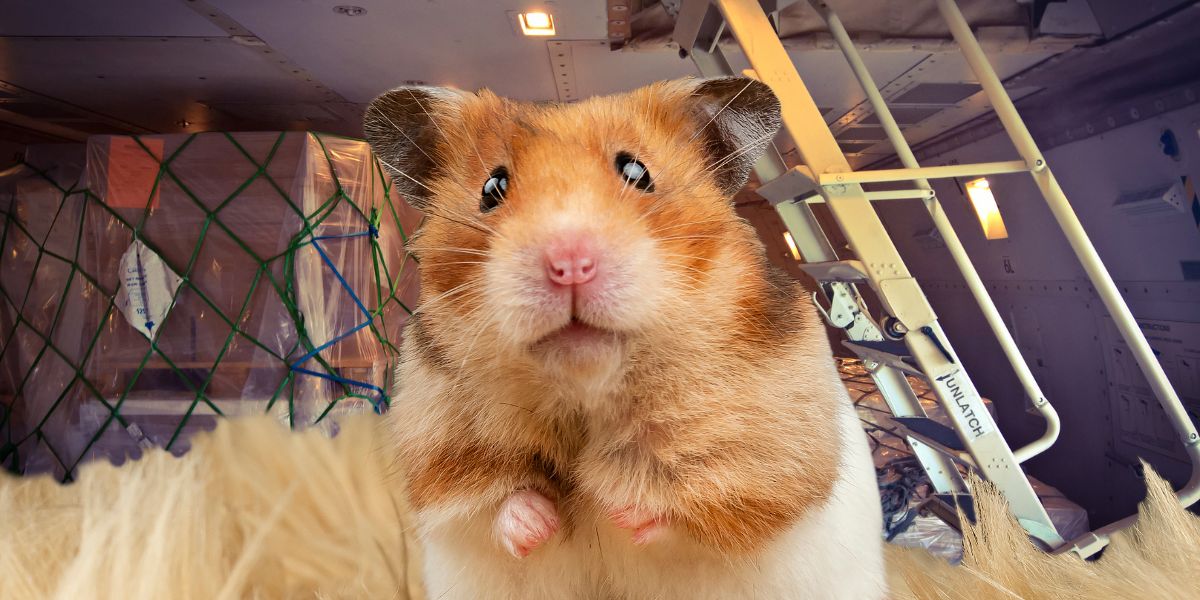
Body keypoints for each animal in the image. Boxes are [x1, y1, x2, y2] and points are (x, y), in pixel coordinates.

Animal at [363, 76, 886, 600]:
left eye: (637, 172)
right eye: (492, 188)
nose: (569, 263)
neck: (587, 392)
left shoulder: (763, 457)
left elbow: (693, 506)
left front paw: (610, 498)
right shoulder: (441, 446)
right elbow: (497, 503)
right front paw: (543, 519)